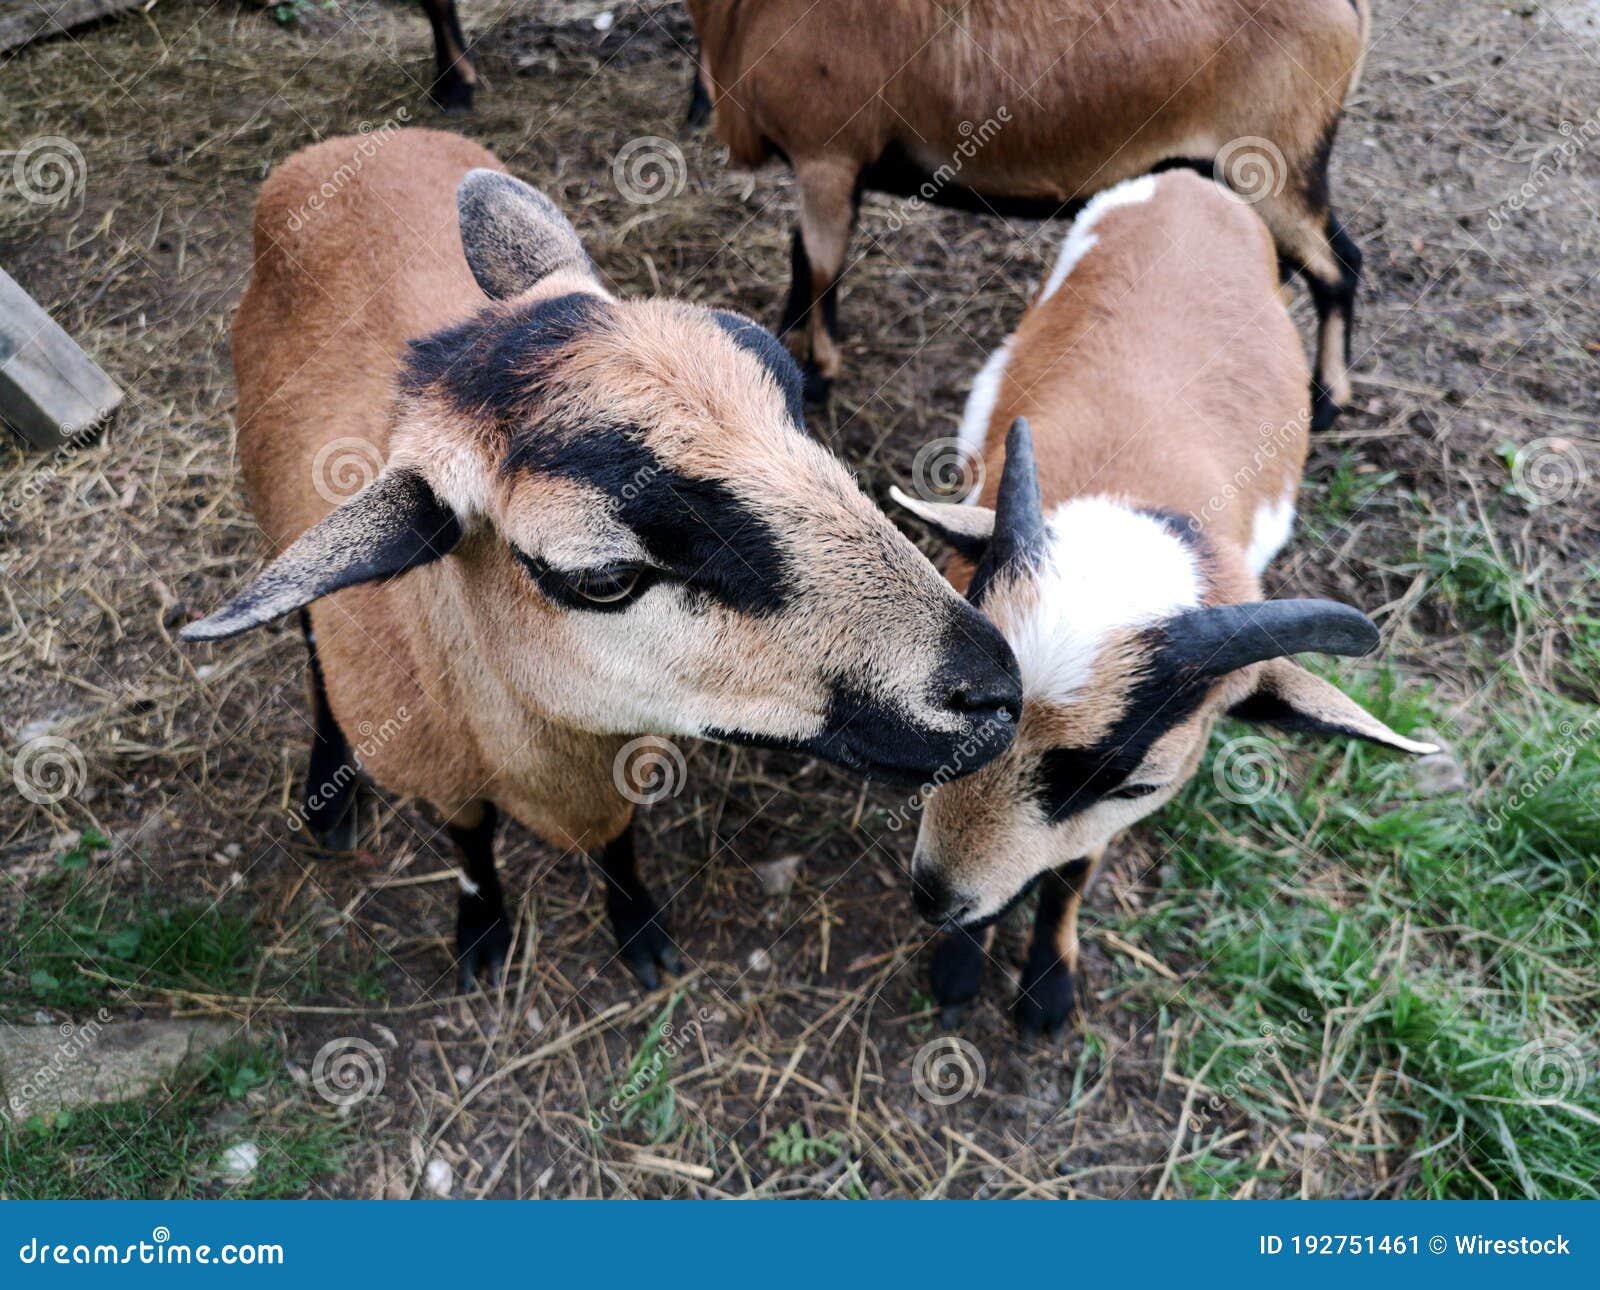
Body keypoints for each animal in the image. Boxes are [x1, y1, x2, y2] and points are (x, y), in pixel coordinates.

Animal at [181, 128, 1023, 991]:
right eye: (605, 578)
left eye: (791, 396)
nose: (991, 690)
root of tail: (346, 145)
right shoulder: (445, 775)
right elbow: (469, 845)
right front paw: (483, 932)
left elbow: (619, 839)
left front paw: (638, 927)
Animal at [687, 0, 1371, 428]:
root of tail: (1349, 12)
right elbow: (802, 255)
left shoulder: (828, 157)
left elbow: (822, 264)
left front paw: (818, 375)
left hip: (1274, 160)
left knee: (1337, 266)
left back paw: (1326, 403)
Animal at [892, 171, 1436, 1037]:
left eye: (1133, 784)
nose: (935, 896)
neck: (1138, 495)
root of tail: (1190, 183)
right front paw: (959, 966)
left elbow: (1073, 868)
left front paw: (1046, 988)